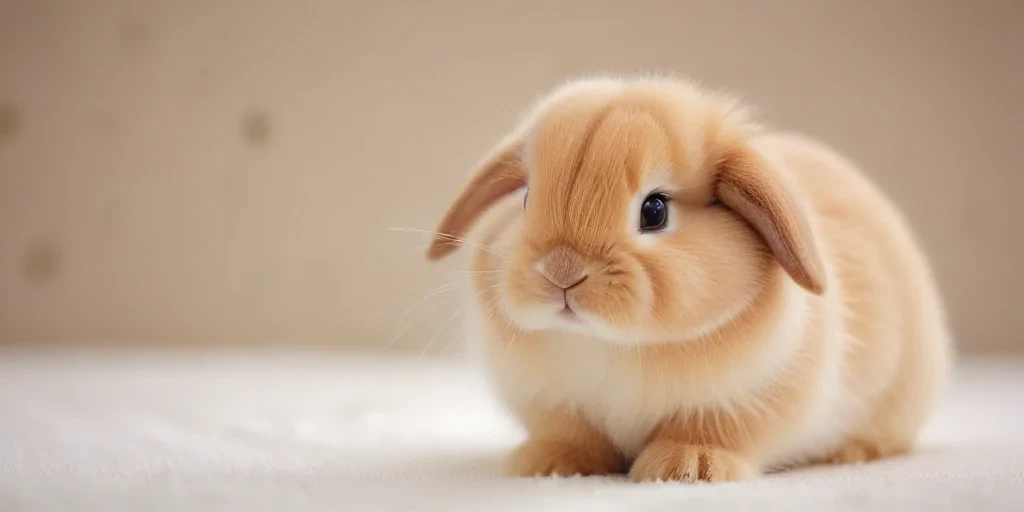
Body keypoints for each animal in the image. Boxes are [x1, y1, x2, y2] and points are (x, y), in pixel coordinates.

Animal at [424, 75, 953, 483]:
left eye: (655, 211)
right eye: (527, 198)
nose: (562, 272)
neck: (613, 345)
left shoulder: (745, 401)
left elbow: (712, 431)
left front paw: (687, 467)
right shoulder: (553, 404)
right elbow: (570, 433)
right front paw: (551, 464)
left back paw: (854, 452)